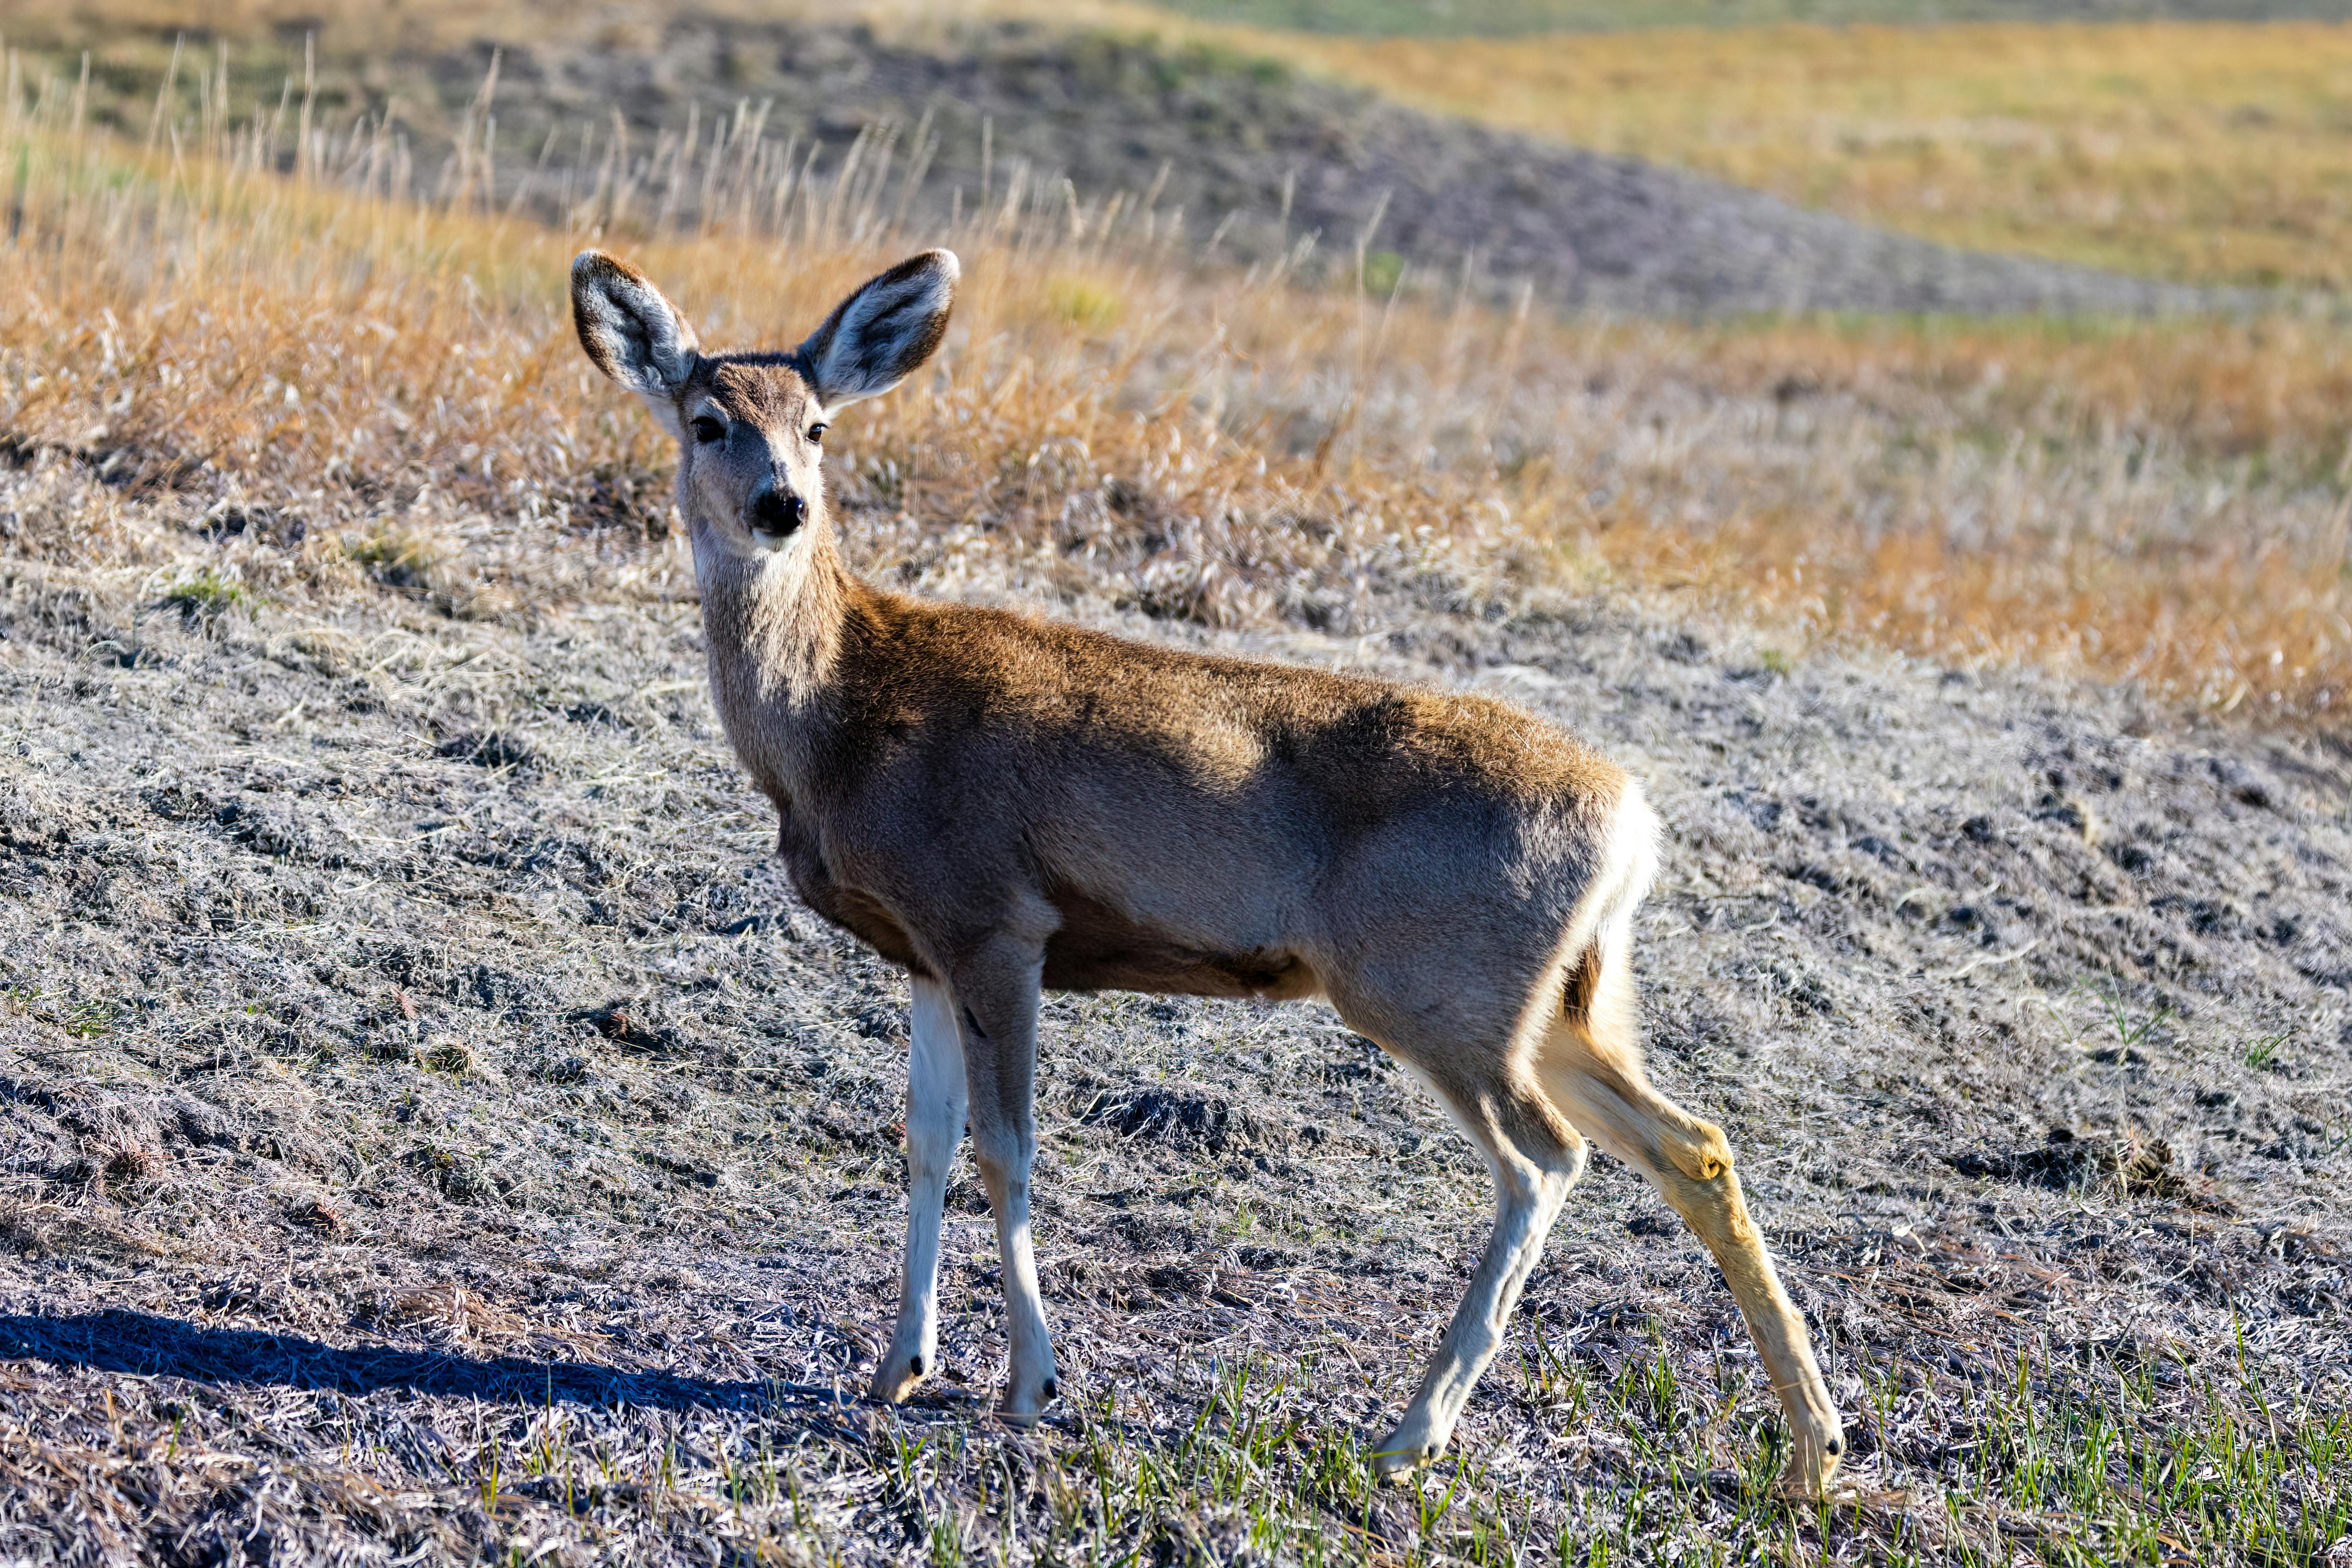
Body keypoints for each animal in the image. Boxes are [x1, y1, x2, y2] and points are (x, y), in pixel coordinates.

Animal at [569, 246, 1848, 1494]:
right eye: (706, 420)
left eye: (819, 424)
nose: (782, 504)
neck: (841, 716)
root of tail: (1632, 822)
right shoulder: (923, 947)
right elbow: (925, 1141)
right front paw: (897, 1366)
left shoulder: (996, 918)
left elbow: (1005, 1146)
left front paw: (1030, 1384)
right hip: (1562, 1000)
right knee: (1693, 1141)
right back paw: (1811, 1447)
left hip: (1439, 984)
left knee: (1545, 1160)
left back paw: (1412, 1431)